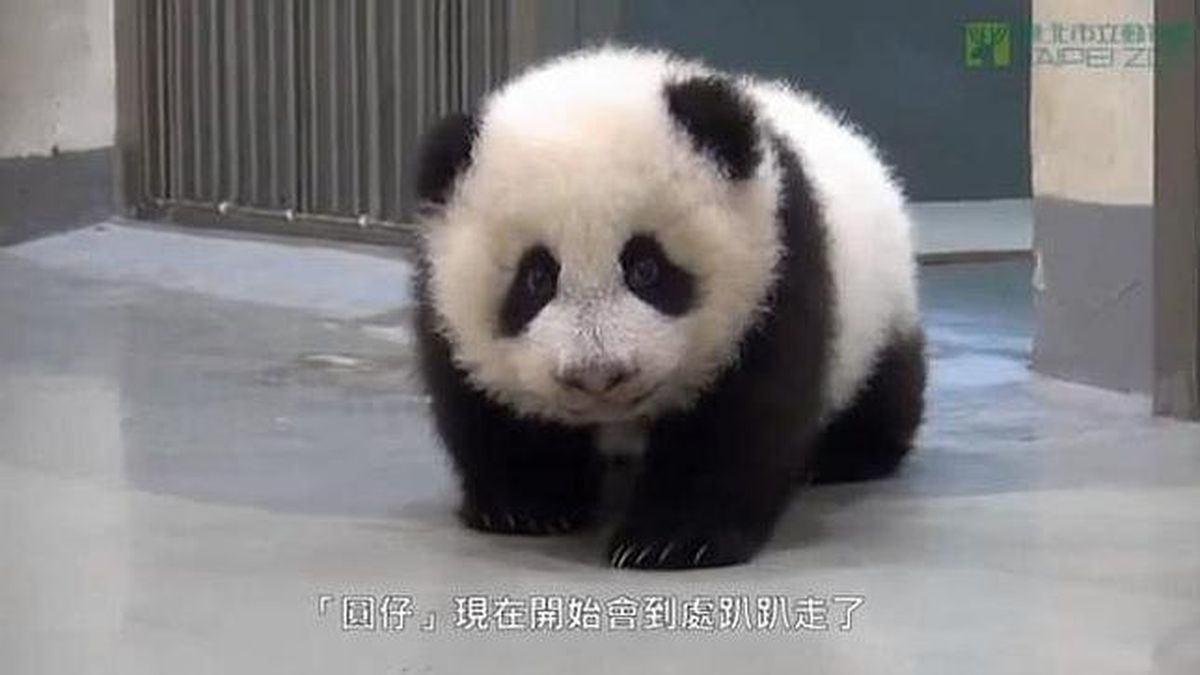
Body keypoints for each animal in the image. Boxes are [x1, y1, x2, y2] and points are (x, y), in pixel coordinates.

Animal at [412, 47, 925, 569]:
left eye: (646, 268)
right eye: (536, 278)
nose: (598, 375)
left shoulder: (774, 269)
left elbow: (741, 416)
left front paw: (672, 540)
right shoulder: (445, 301)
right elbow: (486, 405)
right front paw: (527, 507)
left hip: (881, 305)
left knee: (885, 383)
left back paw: (846, 455)